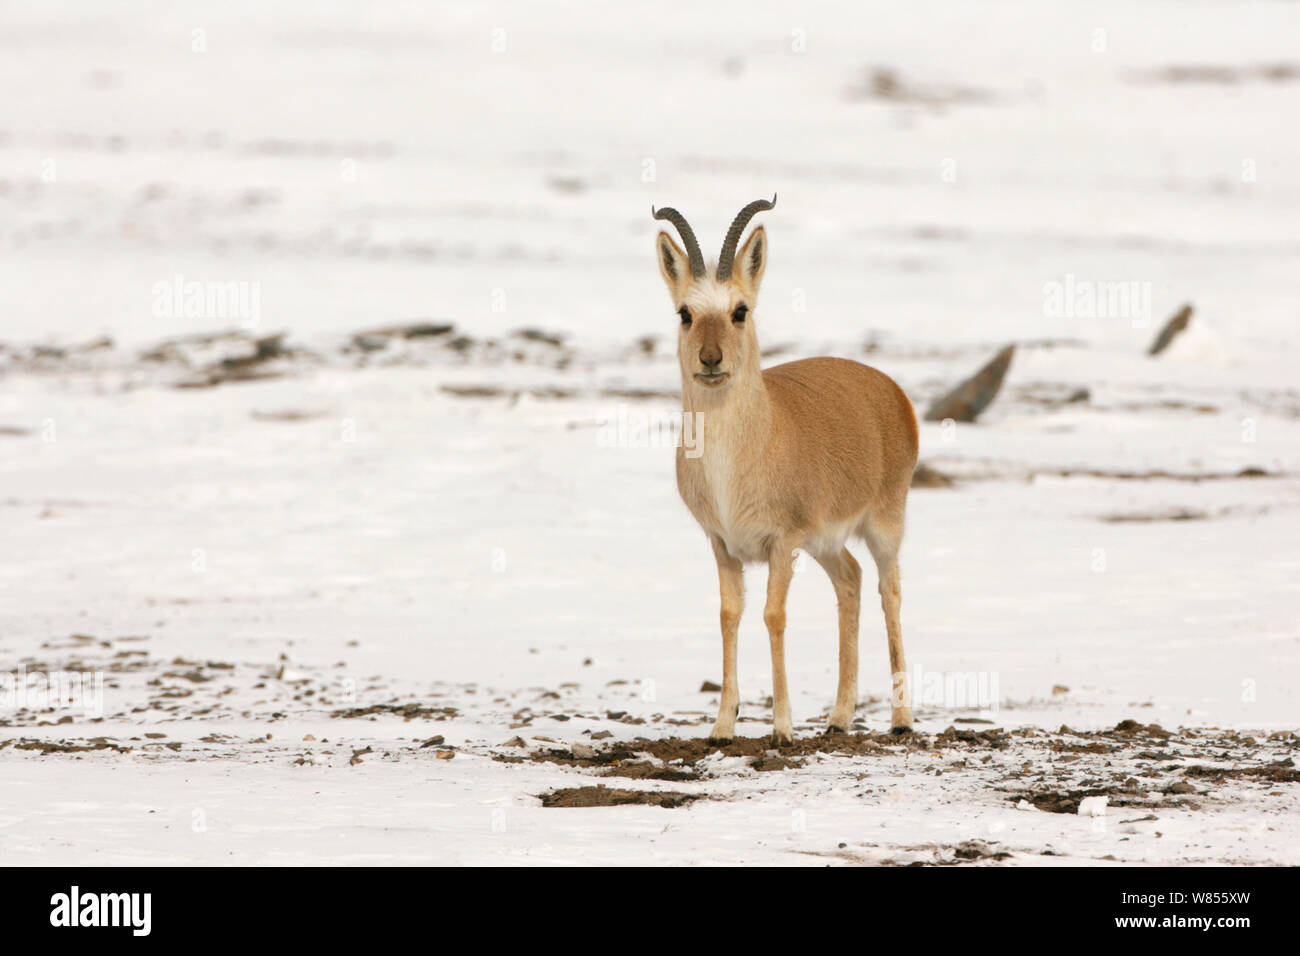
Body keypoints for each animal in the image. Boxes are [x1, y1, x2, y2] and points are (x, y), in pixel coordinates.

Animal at [652, 196, 918, 745]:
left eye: (740, 310)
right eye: (686, 313)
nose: (710, 359)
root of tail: (890, 389)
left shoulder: (782, 542)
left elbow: (774, 616)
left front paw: (781, 728)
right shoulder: (722, 542)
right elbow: (729, 614)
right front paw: (721, 727)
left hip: (883, 527)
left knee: (889, 591)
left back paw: (901, 720)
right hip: (826, 543)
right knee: (851, 580)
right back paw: (839, 717)